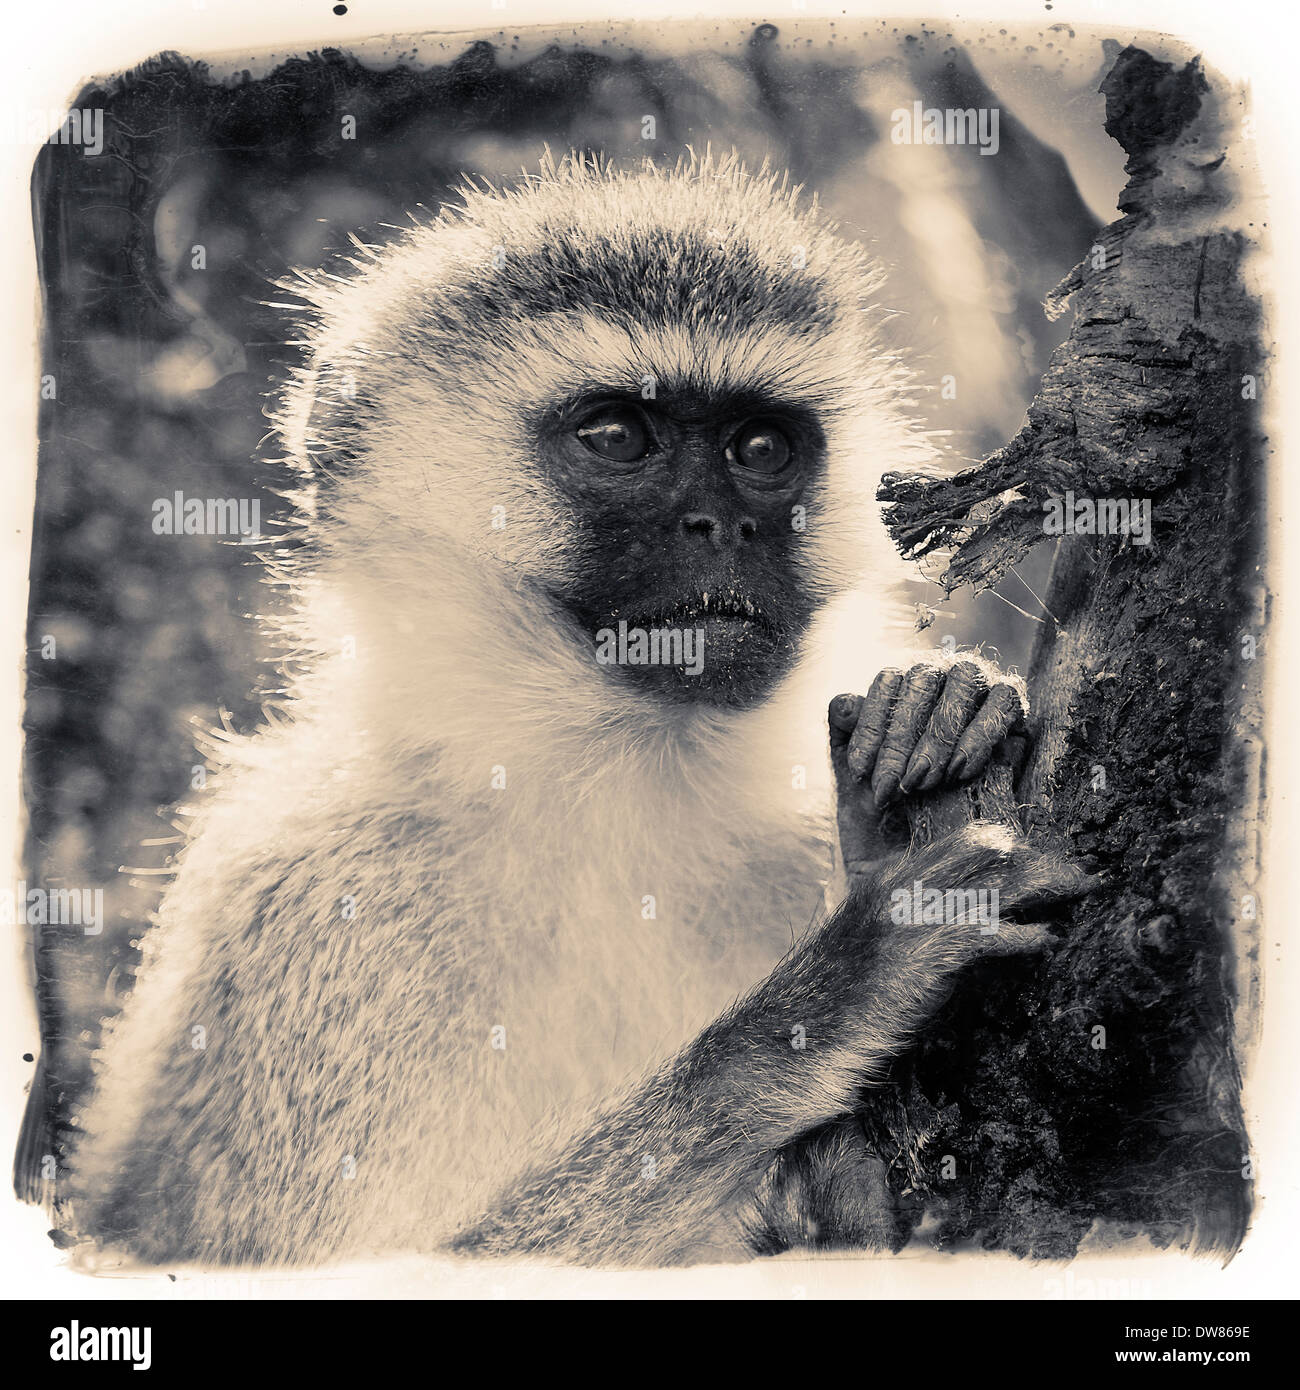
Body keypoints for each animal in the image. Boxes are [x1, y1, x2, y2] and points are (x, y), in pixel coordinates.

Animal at [61, 153, 1084, 1268]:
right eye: (617, 435)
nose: (720, 525)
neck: (621, 783)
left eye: (762, 448)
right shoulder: (311, 913)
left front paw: (923, 732)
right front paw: (833, 993)